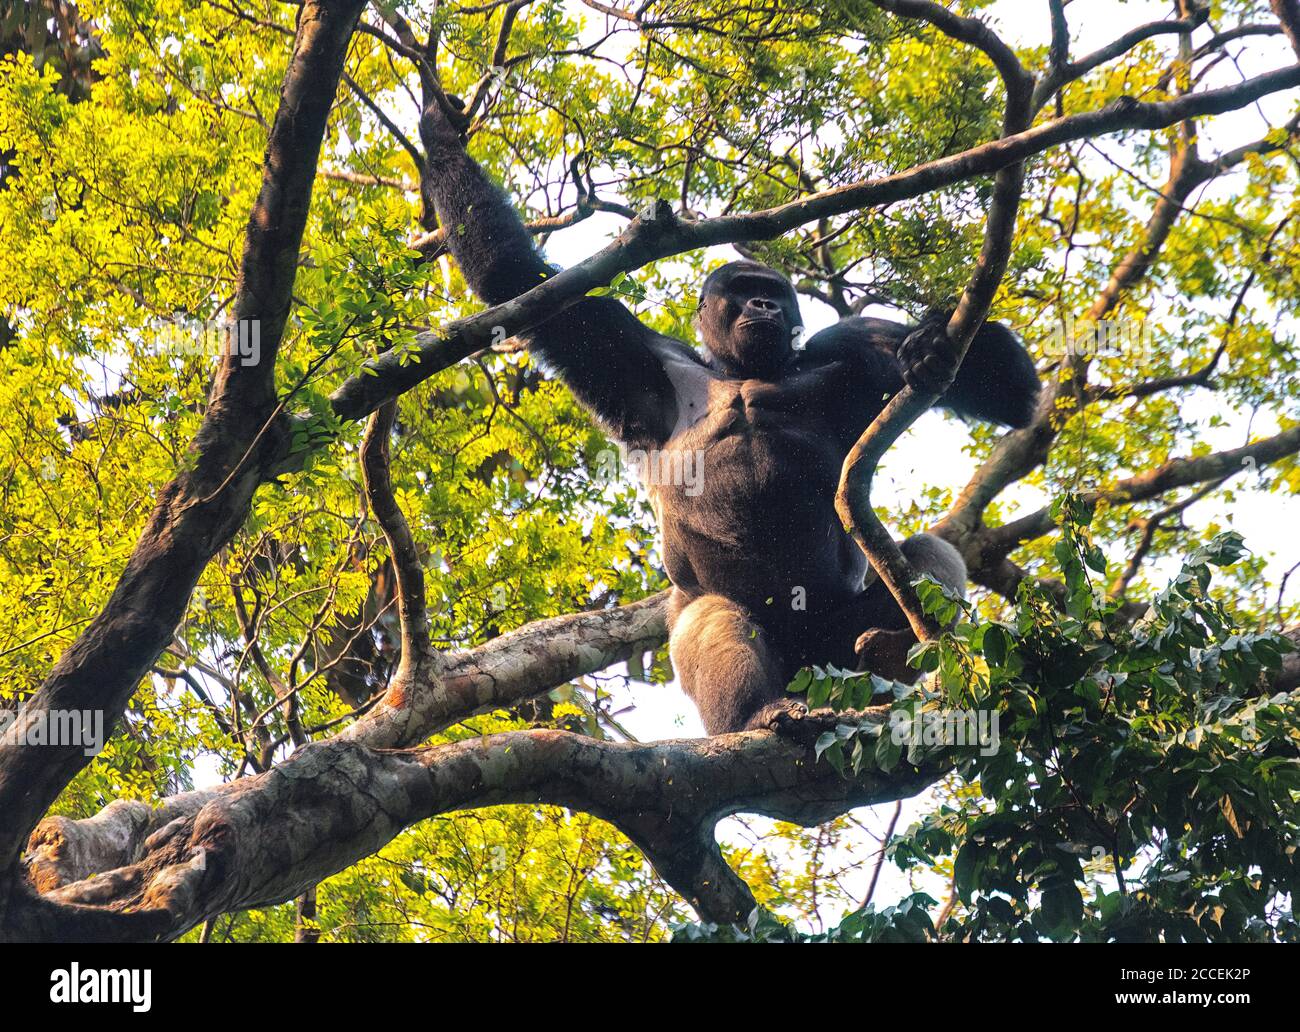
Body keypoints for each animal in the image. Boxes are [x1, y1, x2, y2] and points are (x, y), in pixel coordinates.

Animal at [419, 102, 1040, 735]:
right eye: (743, 290)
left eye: (771, 292)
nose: (763, 305)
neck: (739, 366)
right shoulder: (628, 350)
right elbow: (519, 280)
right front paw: (440, 133)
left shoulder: (853, 342)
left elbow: (1008, 393)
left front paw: (931, 342)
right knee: (712, 616)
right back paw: (758, 709)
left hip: (840, 659)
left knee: (926, 555)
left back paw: (891, 649)